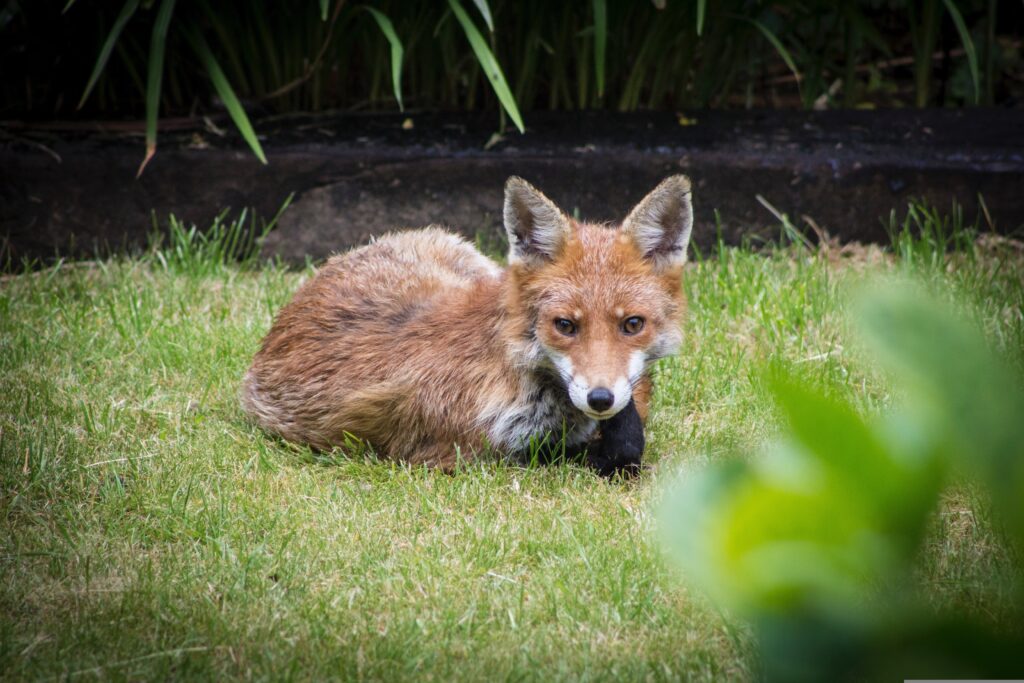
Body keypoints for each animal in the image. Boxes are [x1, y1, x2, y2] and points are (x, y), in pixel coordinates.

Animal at [242, 175, 692, 475]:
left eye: (633, 324)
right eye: (565, 325)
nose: (601, 398)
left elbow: (632, 423)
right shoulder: (470, 455)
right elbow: (615, 447)